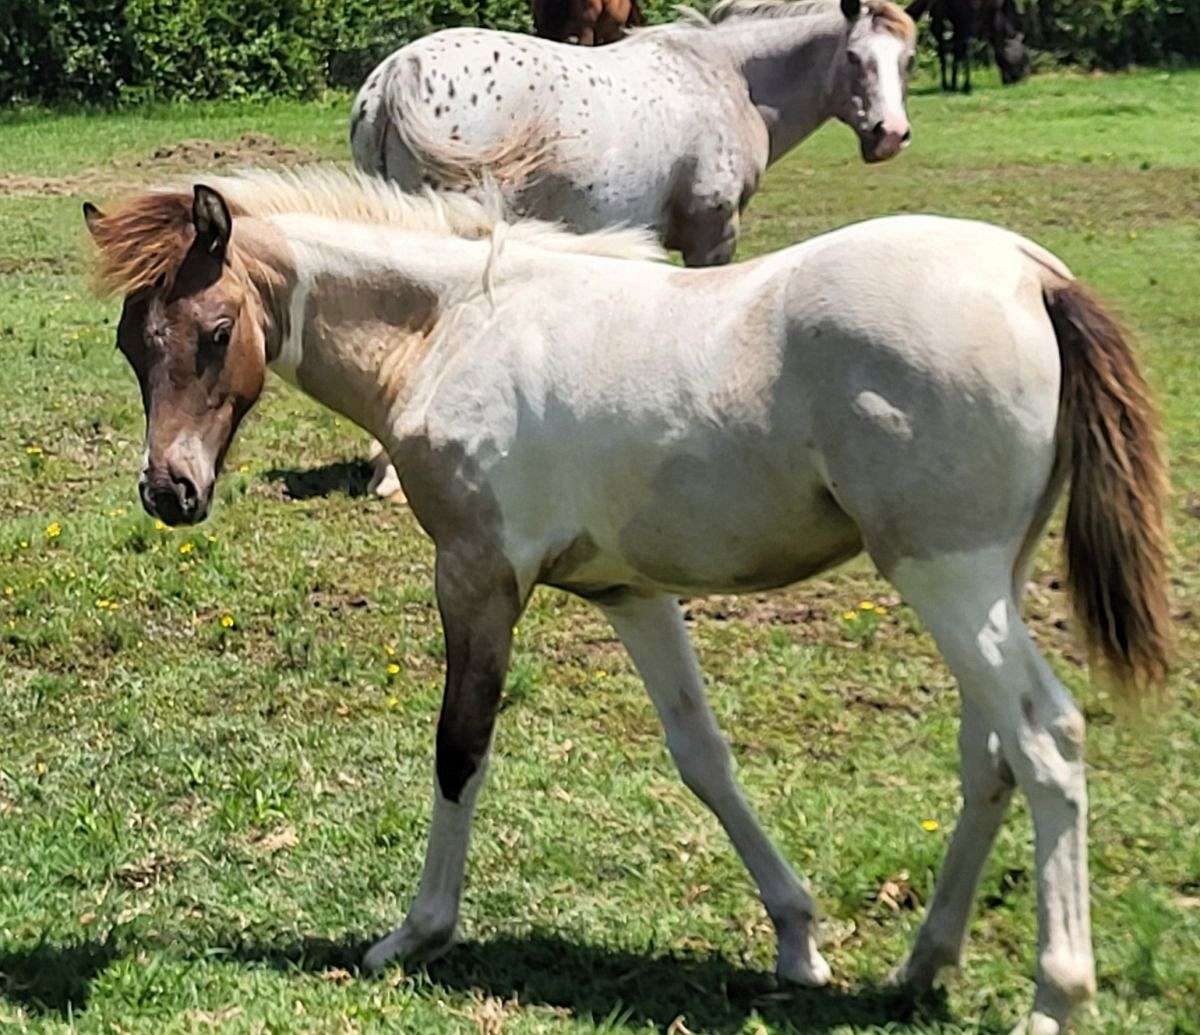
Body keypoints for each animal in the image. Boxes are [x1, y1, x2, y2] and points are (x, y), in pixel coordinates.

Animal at [83, 168, 1170, 1035]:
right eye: (132, 343)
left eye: (215, 331)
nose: (170, 492)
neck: (453, 330)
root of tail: (1035, 274)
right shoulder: (629, 593)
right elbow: (703, 757)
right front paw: (798, 940)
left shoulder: (478, 574)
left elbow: (459, 747)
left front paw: (415, 935)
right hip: (992, 578)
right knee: (991, 757)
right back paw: (920, 965)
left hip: (948, 577)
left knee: (1047, 740)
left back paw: (1054, 997)